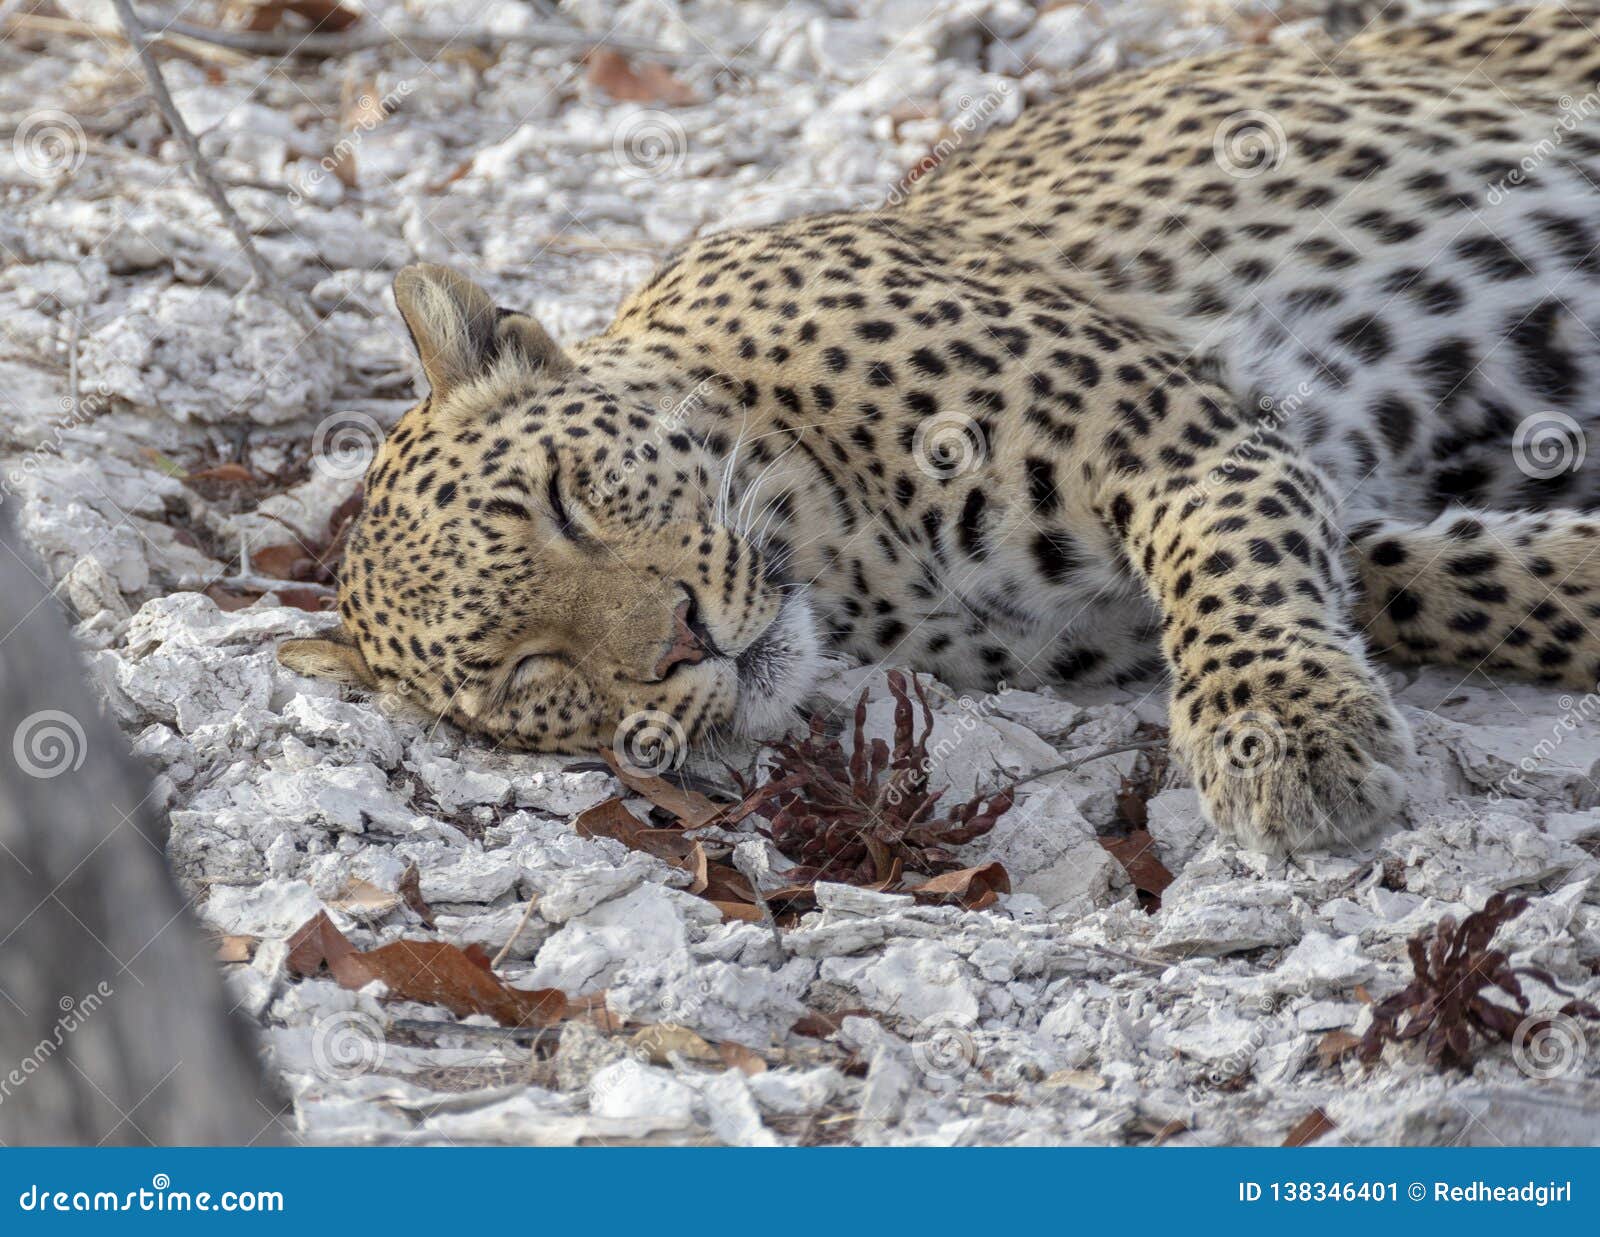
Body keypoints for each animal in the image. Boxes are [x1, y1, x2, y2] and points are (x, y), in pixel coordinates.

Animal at [281, 5, 1600, 855]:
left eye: (563, 497)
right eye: (528, 674)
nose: (681, 643)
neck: (854, 556)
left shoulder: (1182, 439)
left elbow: (1228, 572)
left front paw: (1285, 736)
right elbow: (1450, 581)